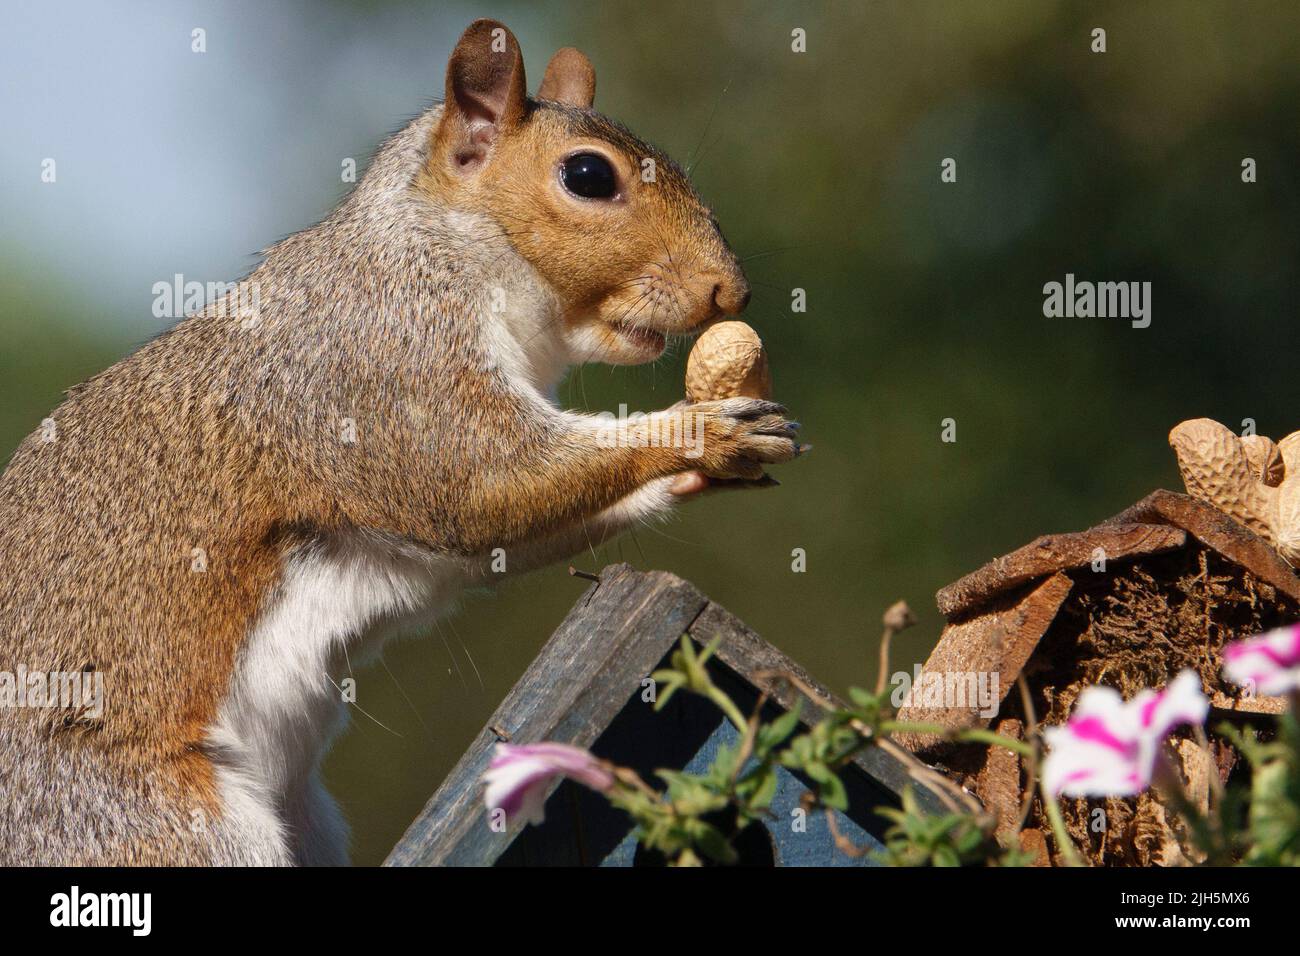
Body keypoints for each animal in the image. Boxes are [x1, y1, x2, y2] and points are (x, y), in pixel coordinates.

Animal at [0, 19, 802, 865]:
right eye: (587, 175)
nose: (731, 289)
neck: (447, 244)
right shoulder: (391, 368)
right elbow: (484, 480)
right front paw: (702, 429)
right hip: (152, 824)